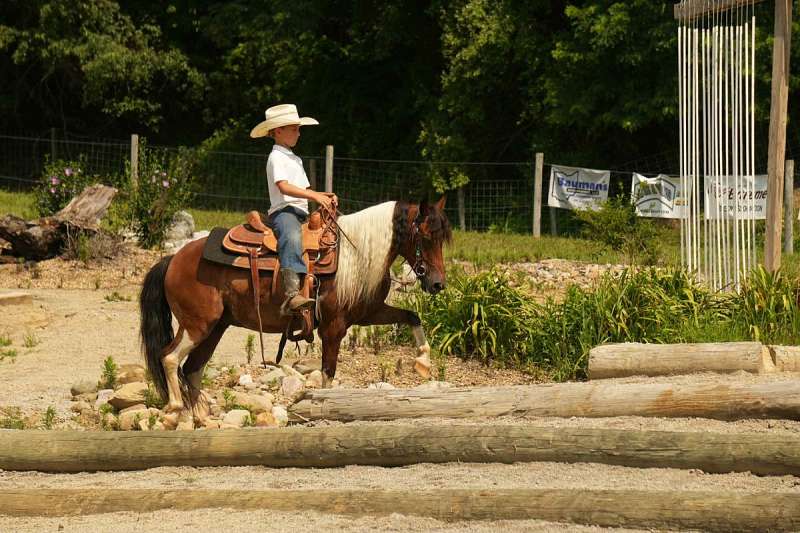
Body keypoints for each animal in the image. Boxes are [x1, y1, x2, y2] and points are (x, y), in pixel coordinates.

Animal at [139, 197, 451, 428]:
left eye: (442, 238)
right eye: (425, 236)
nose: (438, 284)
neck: (356, 255)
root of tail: (173, 259)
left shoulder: (369, 313)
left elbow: (412, 316)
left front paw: (423, 362)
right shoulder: (334, 326)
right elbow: (328, 372)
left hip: (215, 327)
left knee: (193, 368)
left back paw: (203, 420)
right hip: (198, 324)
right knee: (170, 358)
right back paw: (173, 412)